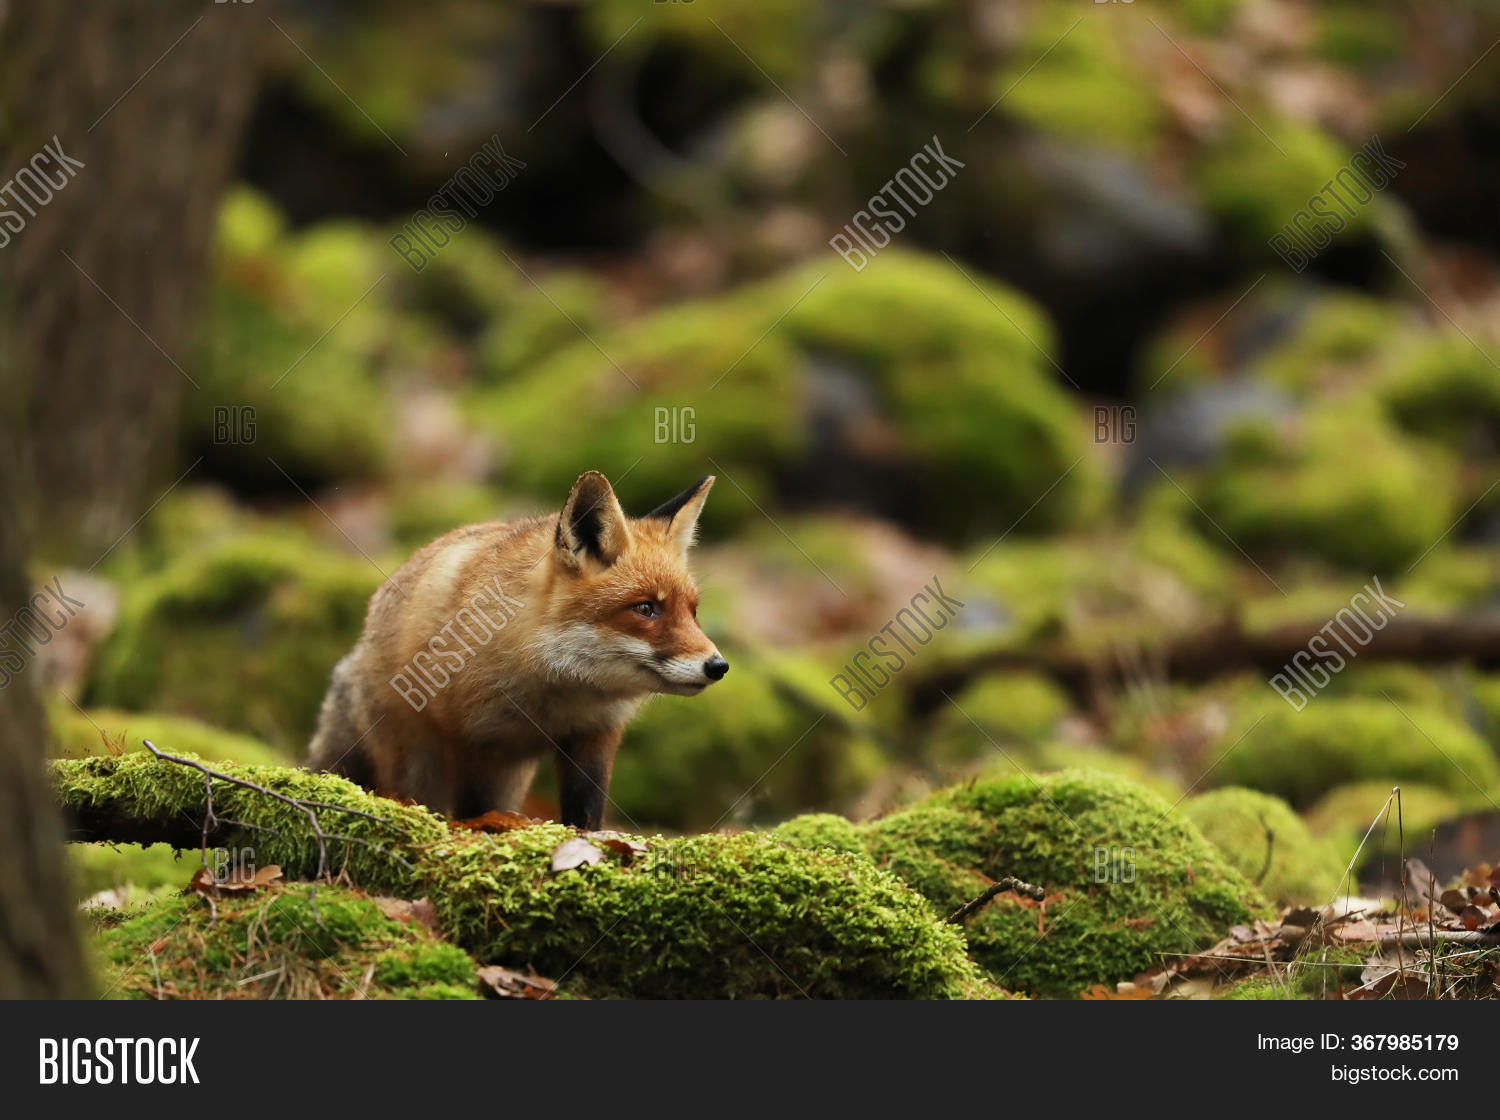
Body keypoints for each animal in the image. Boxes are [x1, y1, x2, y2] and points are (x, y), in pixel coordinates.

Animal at [306, 471, 727, 829]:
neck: (557, 692)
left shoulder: (594, 736)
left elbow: (586, 814)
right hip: (417, 765)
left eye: (693, 612)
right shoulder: (474, 739)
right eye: (645, 609)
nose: (718, 666)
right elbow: (474, 812)